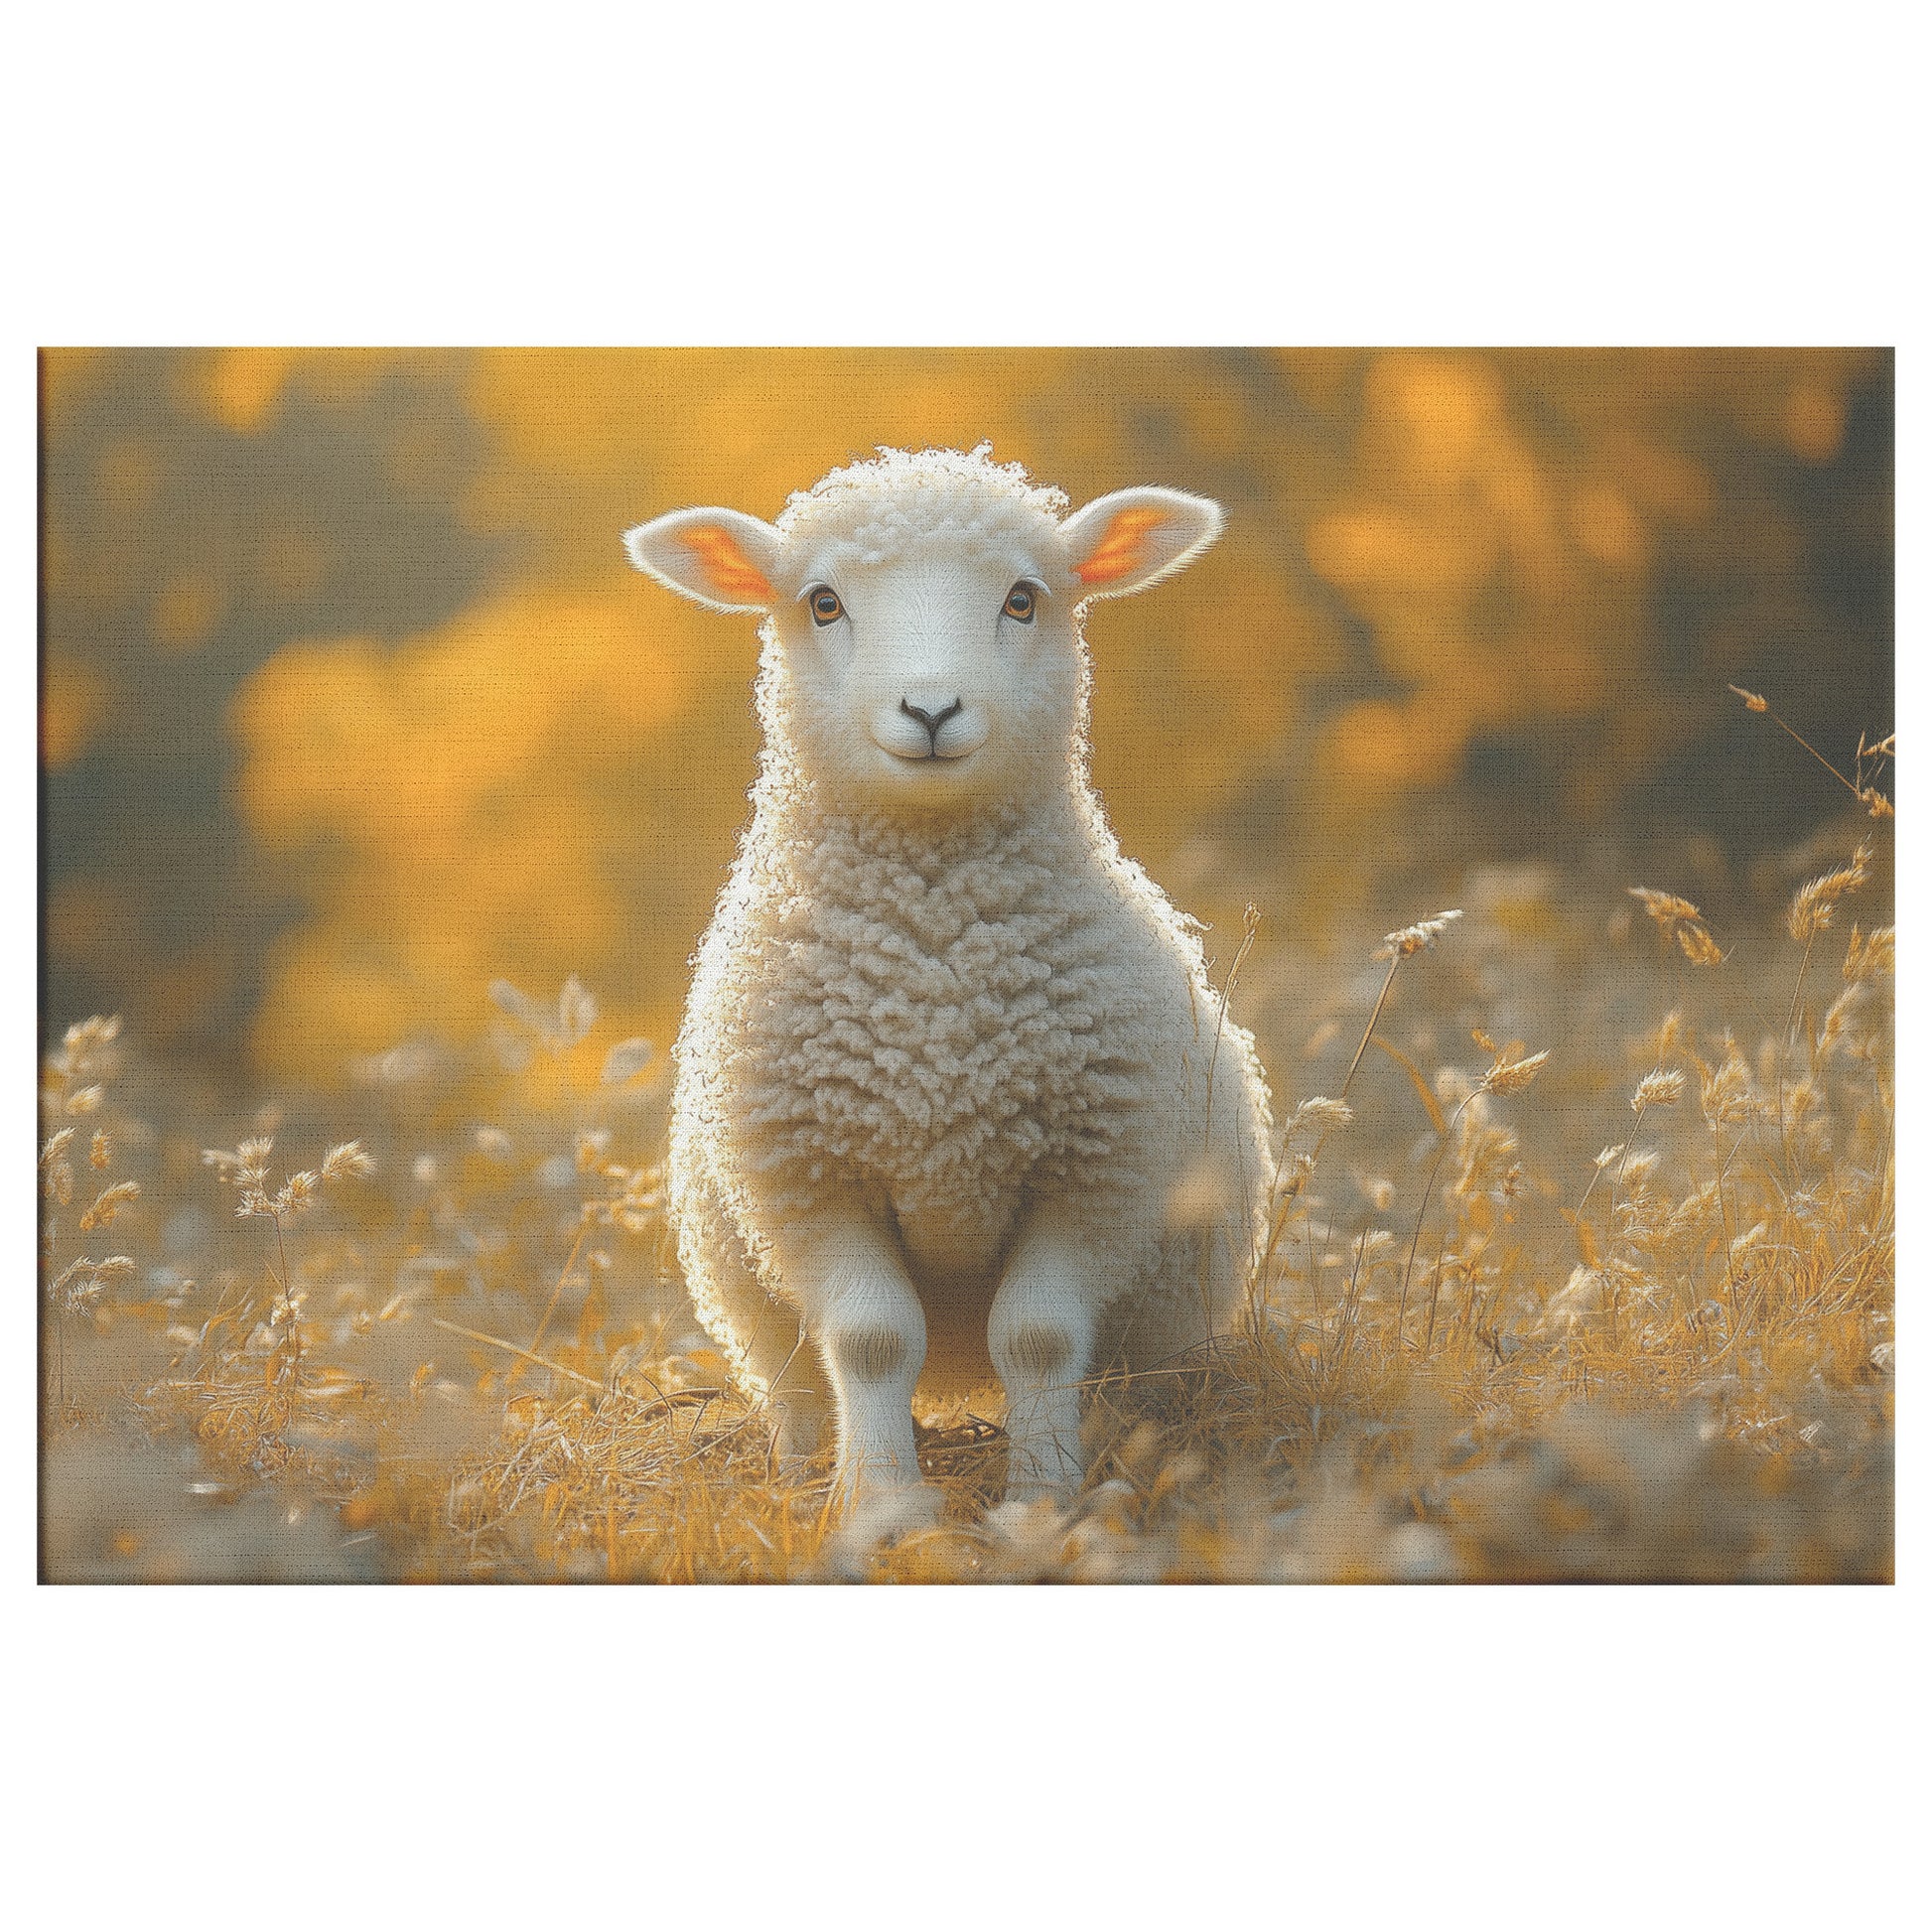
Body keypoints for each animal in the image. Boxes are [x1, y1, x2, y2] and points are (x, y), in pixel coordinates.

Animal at [624, 444, 1272, 1525]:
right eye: (823, 602)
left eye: (1022, 598)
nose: (930, 710)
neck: (930, 985)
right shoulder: (808, 1178)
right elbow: (871, 1340)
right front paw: (882, 1506)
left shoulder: (1095, 1168)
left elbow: (1039, 1338)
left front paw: (1042, 1499)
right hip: (753, 1312)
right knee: (803, 1389)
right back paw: (806, 1471)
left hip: (1169, 1315)